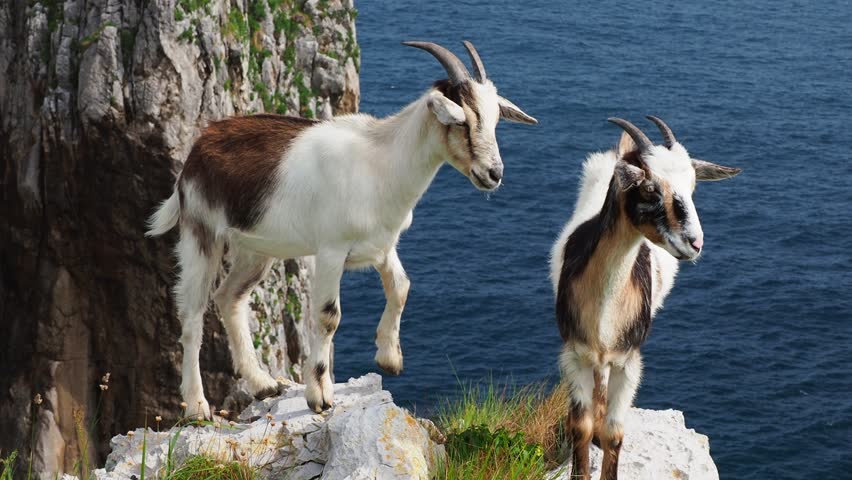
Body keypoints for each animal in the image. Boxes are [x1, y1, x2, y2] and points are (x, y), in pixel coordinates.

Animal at [146, 41, 537, 417]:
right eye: (461, 122)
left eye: (496, 119)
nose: (494, 173)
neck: (381, 163)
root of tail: (199, 148)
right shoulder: (331, 250)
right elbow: (328, 316)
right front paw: (319, 395)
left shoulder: (383, 245)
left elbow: (401, 287)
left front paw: (389, 358)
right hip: (201, 233)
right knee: (192, 314)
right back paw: (197, 406)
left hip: (255, 249)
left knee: (229, 297)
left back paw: (262, 384)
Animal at [550, 117, 740, 480]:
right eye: (650, 188)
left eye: (693, 186)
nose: (695, 242)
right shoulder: (573, 353)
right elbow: (579, 427)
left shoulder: (630, 360)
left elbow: (615, 432)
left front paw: (605, 440)